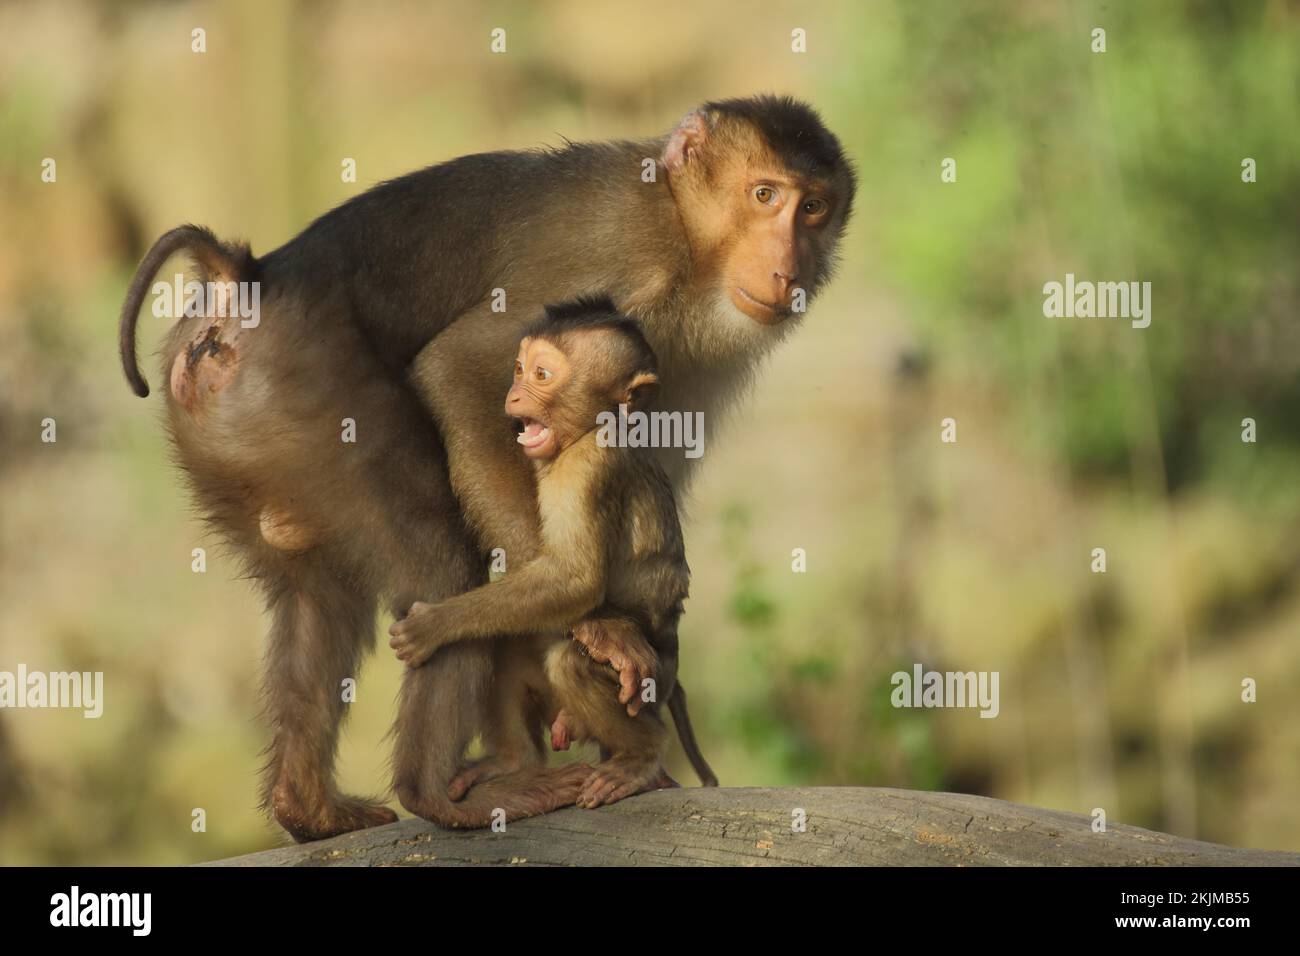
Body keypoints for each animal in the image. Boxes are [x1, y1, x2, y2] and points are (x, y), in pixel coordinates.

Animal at [388, 297, 718, 806]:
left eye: (542, 374)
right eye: (519, 369)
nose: (514, 395)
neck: (587, 431)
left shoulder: (587, 466)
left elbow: (575, 579)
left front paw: (432, 624)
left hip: (647, 692)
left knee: (571, 664)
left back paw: (640, 759)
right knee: (506, 638)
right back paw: (515, 761)